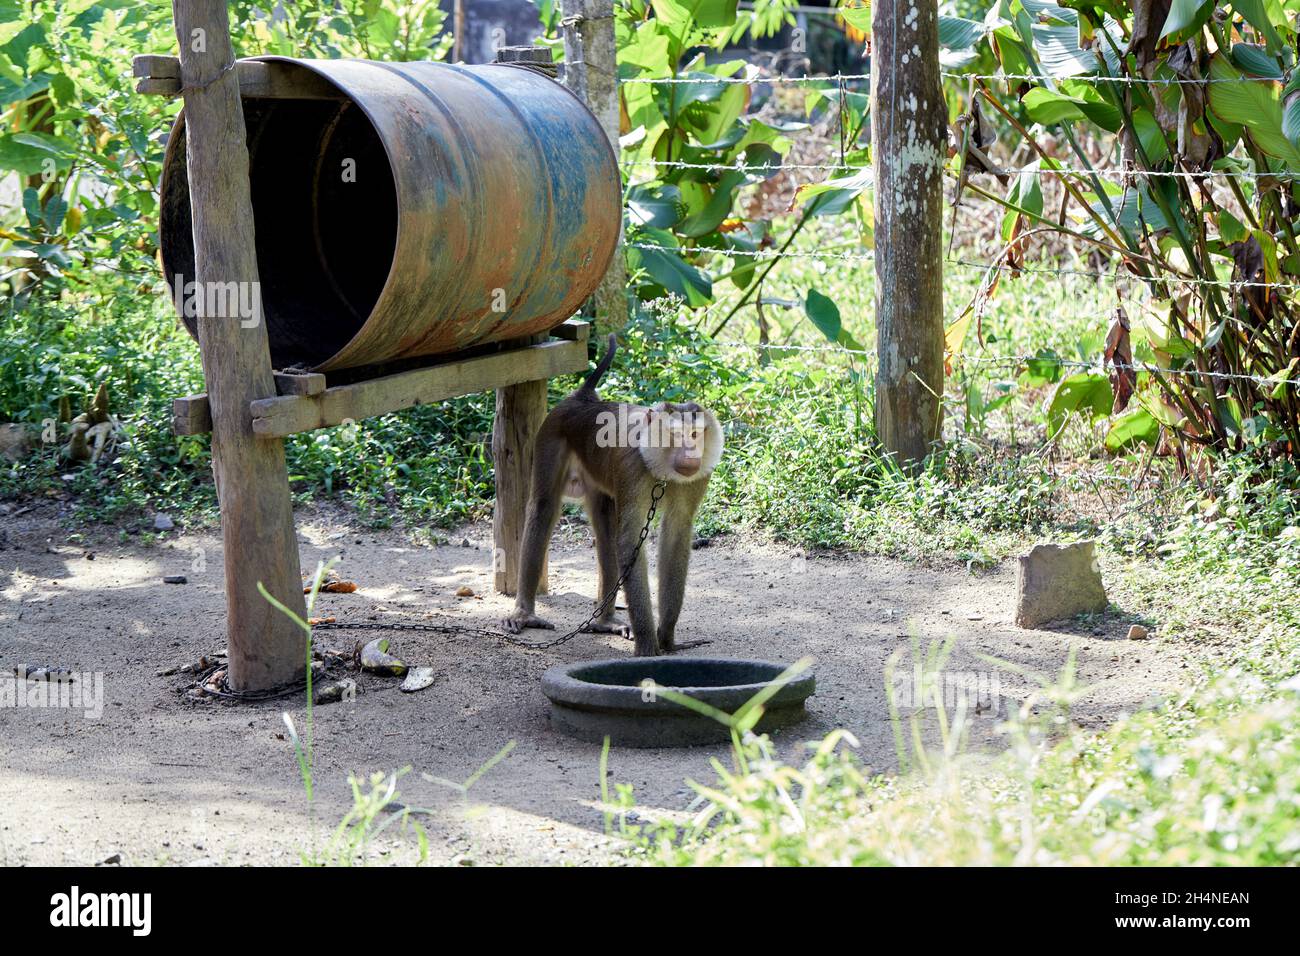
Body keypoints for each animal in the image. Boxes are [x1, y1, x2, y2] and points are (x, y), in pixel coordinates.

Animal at [500, 334, 724, 656]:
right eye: (676, 435)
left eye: (695, 434)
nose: (691, 453)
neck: (660, 468)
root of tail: (584, 399)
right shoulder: (632, 467)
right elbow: (630, 541)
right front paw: (648, 643)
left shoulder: (697, 476)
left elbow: (676, 535)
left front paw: (667, 638)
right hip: (550, 435)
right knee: (543, 509)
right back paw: (525, 613)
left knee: (606, 527)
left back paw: (605, 621)